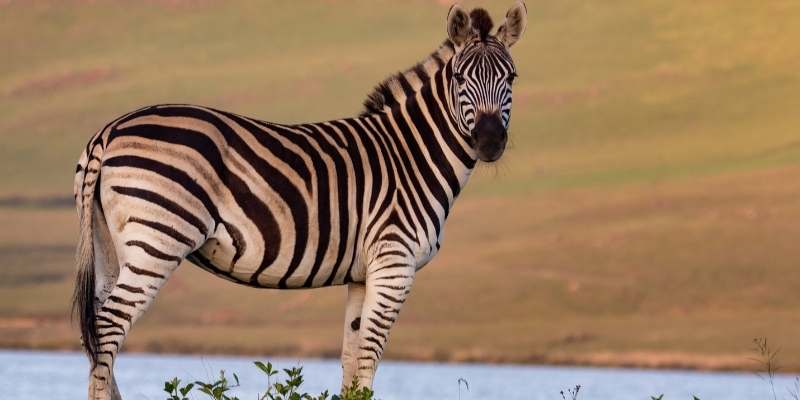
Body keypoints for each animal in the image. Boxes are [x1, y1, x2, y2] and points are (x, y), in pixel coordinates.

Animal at [72, 3, 527, 399]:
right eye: (460, 78)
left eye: (512, 78)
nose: (489, 141)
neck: (411, 153)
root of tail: (110, 130)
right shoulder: (394, 264)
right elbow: (369, 358)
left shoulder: (363, 274)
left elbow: (351, 362)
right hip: (158, 238)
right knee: (109, 327)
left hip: (110, 242)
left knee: (96, 328)